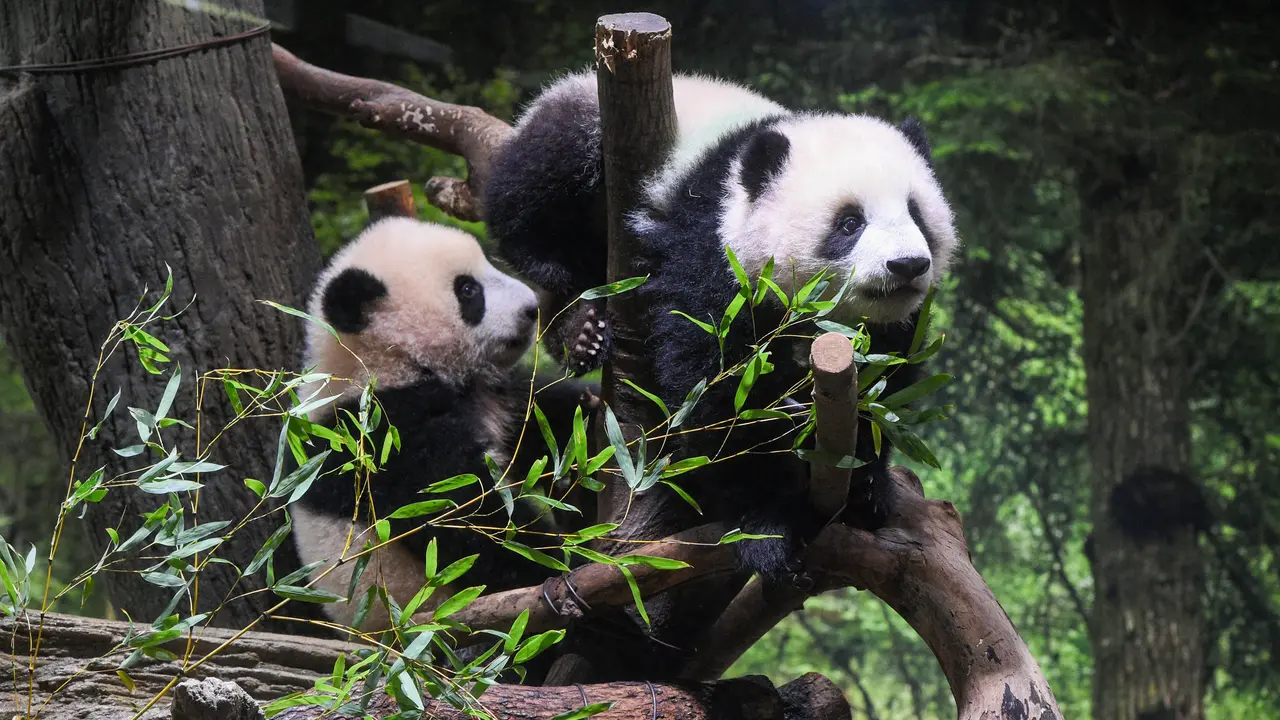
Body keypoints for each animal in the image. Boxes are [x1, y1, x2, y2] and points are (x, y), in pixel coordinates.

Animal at [289, 216, 597, 634]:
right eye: (468, 290)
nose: (532, 309)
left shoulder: (494, 396)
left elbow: (541, 422)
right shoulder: (383, 438)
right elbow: (467, 520)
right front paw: (562, 568)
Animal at [483, 70, 959, 587]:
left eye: (916, 213)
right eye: (850, 222)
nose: (907, 265)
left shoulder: (891, 327)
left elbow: (887, 381)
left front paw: (866, 487)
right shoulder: (711, 248)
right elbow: (715, 388)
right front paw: (769, 523)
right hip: (582, 120)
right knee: (537, 180)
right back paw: (574, 311)